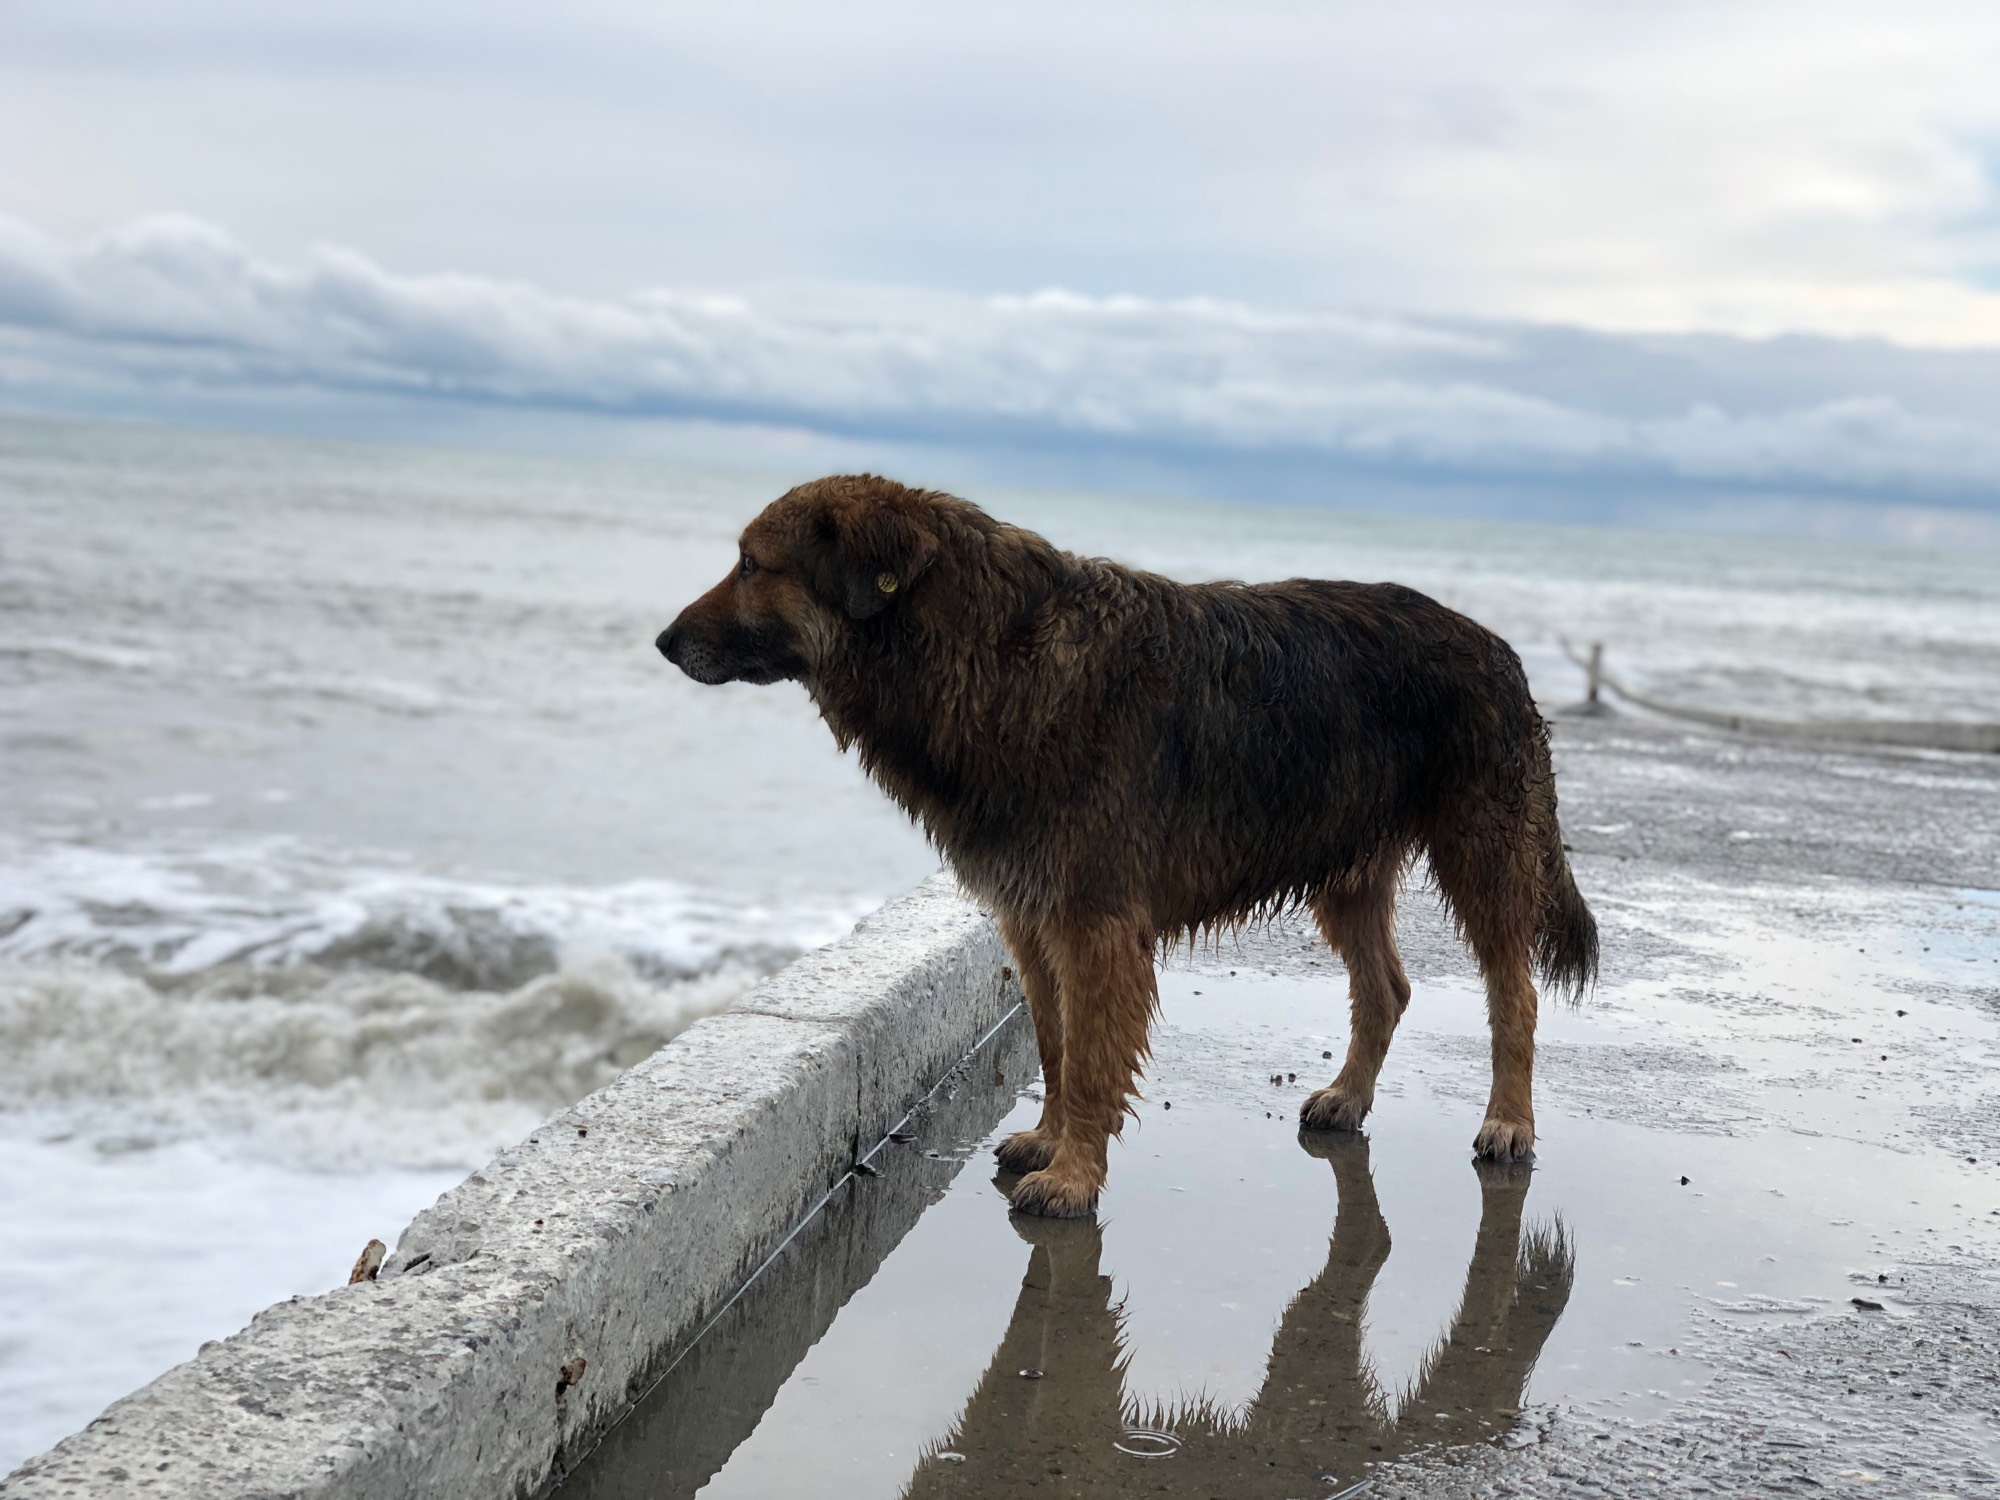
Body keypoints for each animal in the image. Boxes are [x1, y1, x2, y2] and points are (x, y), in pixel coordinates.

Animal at [664, 476, 1600, 1216]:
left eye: (750, 565)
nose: (664, 642)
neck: (988, 652)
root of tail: (1500, 649)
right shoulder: (1031, 913)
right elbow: (1054, 1042)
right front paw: (1049, 1140)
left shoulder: (1095, 922)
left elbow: (1087, 1060)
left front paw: (1075, 1174)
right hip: (1347, 864)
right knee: (1386, 990)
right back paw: (1347, 1095)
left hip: (1482, 851)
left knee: (1514, 995)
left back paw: (1508, 1119)